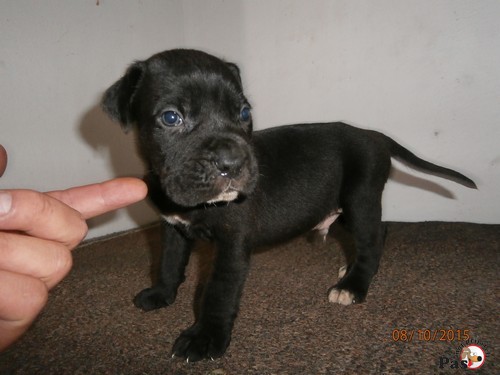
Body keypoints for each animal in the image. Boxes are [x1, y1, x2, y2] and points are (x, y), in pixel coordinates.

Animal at [100, 48, 472, 362]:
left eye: (244, 113)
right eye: (171, 117)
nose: (233, 161)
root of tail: (374, 135)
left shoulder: (232, 243)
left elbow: (218, 291)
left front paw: (206, 338)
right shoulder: (172, 227)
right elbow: (168, 261)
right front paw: (162, 293)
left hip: (360, 199)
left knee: (372, 235)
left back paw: (352, 286)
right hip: (344, 206)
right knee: (378, 232)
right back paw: (350, 271)